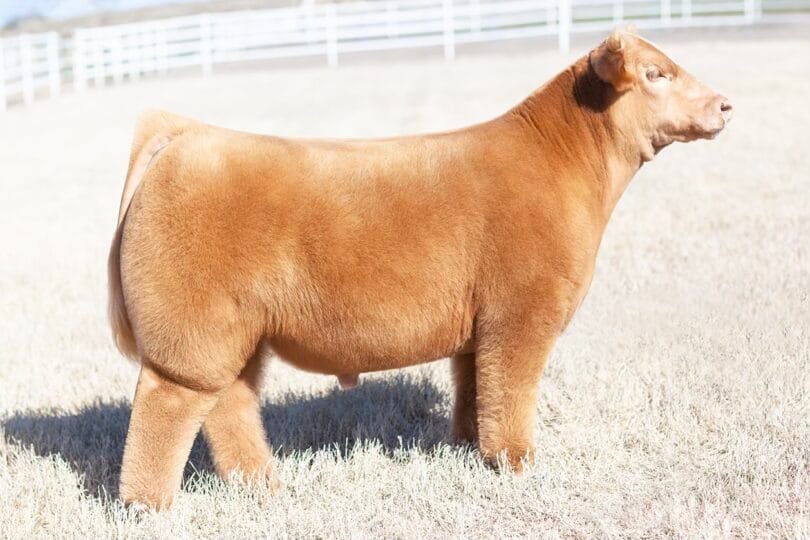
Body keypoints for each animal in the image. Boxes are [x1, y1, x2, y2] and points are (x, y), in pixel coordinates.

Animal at [108, 29, 732, 508]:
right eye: (656, 73)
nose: (725, 105)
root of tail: (185, 135)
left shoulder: (480, 325)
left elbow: (476, 387)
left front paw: (467, 447)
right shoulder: (522, 314)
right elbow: (512, 392)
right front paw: (517, 464)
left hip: (237, 335)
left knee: (229, 404)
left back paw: (262, 485)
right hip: (194, 332)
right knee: (167, 406)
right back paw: (149, 508)